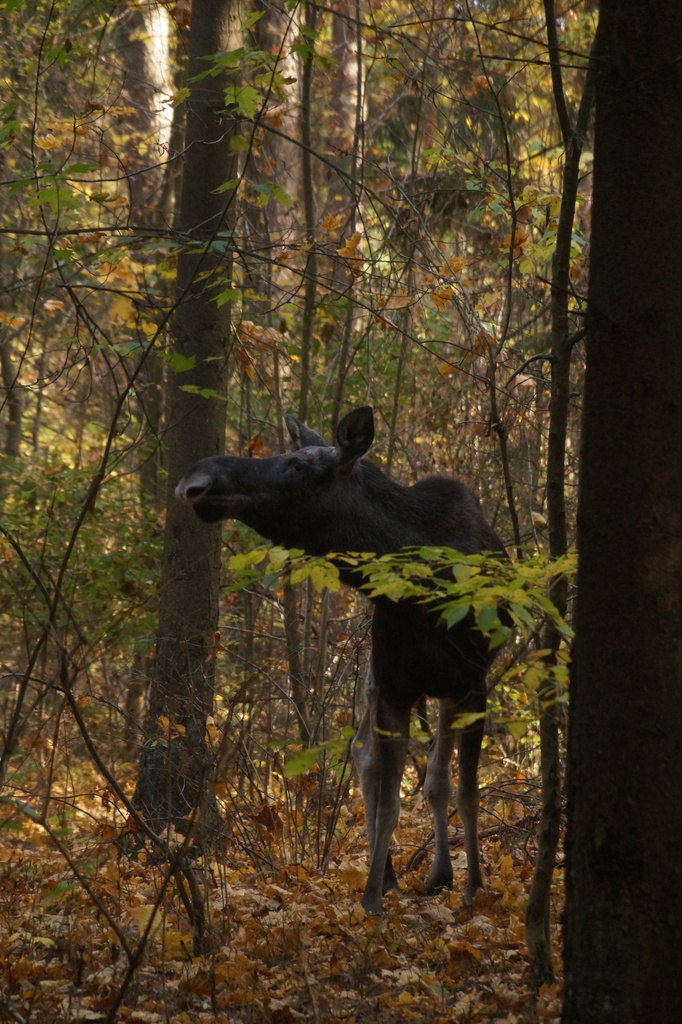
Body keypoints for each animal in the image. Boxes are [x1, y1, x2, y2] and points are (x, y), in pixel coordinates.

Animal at [175, 406, 506, 914]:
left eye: (296, 465)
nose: (196, 479)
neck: (424, 594)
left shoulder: (473, 684)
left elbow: (466, 793)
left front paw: (474, 888)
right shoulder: (393, 686)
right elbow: (389, 799)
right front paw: (372, 895)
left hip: (445, 691)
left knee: (433, 776)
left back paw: (439, 874)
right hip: (376, 679)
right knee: (368, 757)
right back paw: (391, 874)